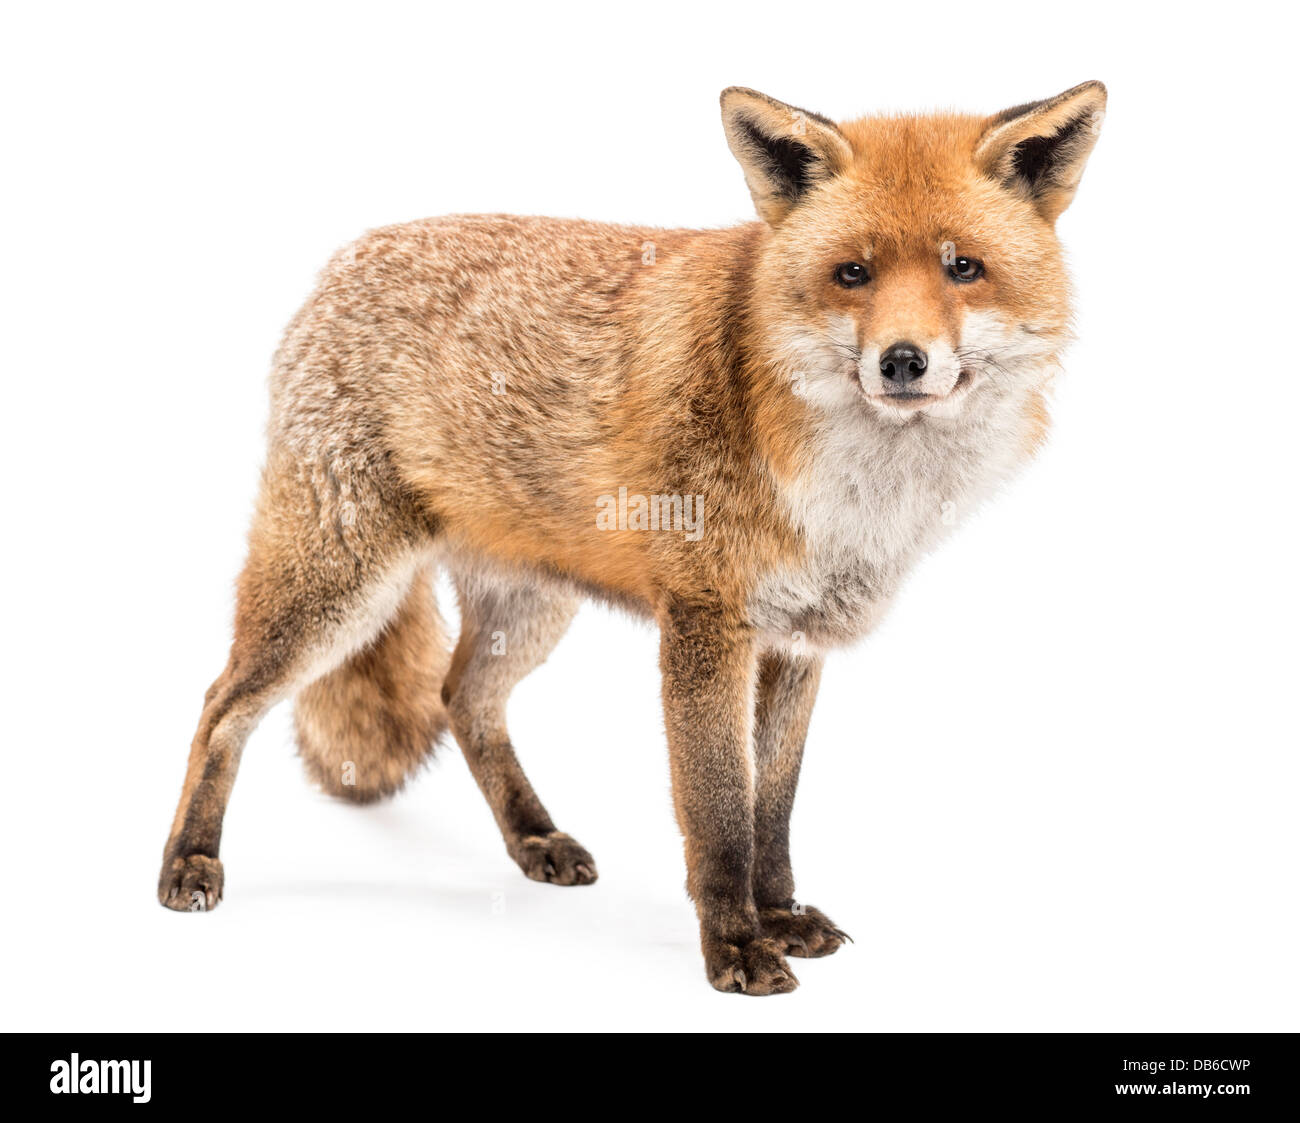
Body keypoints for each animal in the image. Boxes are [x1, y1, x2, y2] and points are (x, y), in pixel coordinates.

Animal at [159, 81, 1106, 994]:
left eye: (963, 268)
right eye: (853, 273)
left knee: (461, 700)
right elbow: (720, 813)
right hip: (339, 590)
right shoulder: (704, 622)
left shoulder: (798, 640)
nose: (903, 360)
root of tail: (349, 254)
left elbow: (773, 806)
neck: (849, 486)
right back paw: (189, 859)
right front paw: (736, 945)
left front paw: (779, 912)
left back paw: (535, 837)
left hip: (526, 607)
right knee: (221, 703)